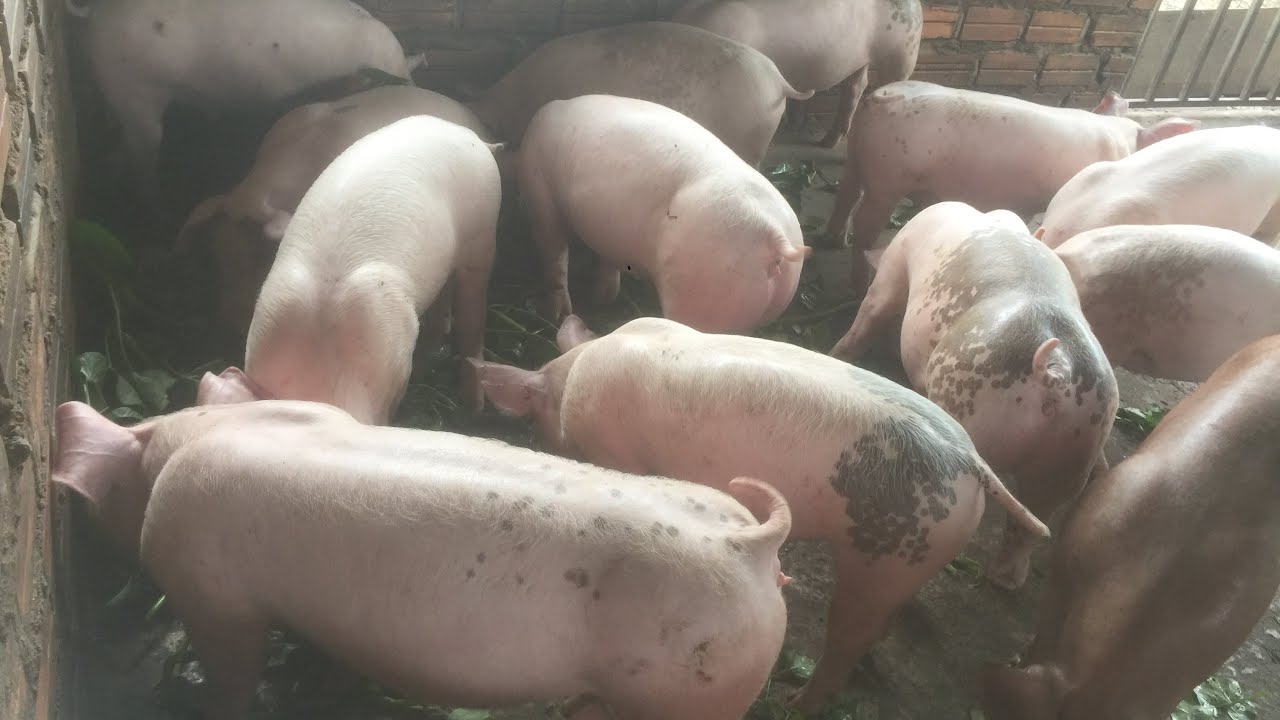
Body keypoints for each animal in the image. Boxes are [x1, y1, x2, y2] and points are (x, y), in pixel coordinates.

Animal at [471, 314, 1050, 711]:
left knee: (849, 632)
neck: (573, 378)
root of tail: (971, 461)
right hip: (917, 552)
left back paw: (799, 703)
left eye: (535, 417)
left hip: (887, 548)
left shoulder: (613, 452)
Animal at [516, 95, 810, 333]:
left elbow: (554, 250)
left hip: (699, 291)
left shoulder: (538, 189)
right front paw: (601, 298)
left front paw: (557, 314)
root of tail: (771, 232)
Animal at [823, 82, 1197, 290]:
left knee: (845, 196)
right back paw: (859, 284)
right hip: (888, 177)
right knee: (865, 222)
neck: (1119, 138)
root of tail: (881, 95)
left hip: (857, 158)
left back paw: (835, 241)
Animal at [830, 202, 1118, 590]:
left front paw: (836, 353)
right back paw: (1004, 580)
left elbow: (871, 315)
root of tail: (1056, 370)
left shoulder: (894, 266)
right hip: (1075, 450)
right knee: (1035, 520)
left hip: (971, 411)